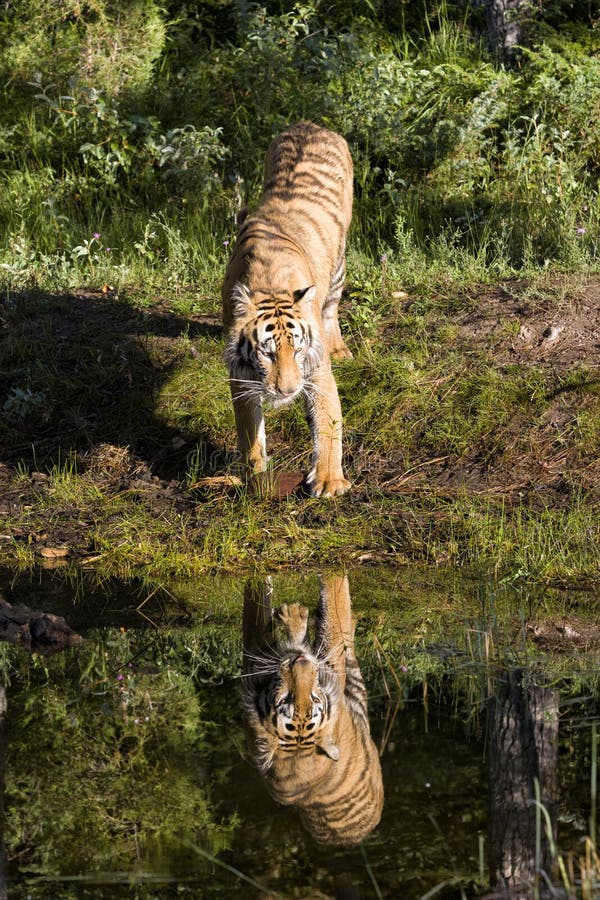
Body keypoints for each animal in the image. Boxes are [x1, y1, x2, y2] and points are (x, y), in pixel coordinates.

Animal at [222, 121, 353, 497]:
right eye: (266, 353)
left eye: (296, 350)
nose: (288, 391)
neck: (269, 283)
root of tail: (311, 123)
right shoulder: (240, 372)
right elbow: (247, 423)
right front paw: (252, 468)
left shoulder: (315, 365)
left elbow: (328, 419)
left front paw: (329, 480)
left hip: (338, 265)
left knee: (331, 307)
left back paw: (341, 347)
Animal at [242, 574, 384, 845]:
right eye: (284, 700)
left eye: (313, 698)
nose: (302, 662)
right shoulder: (330, 656)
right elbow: (334, 606)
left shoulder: (256, 655)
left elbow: (255, 609)